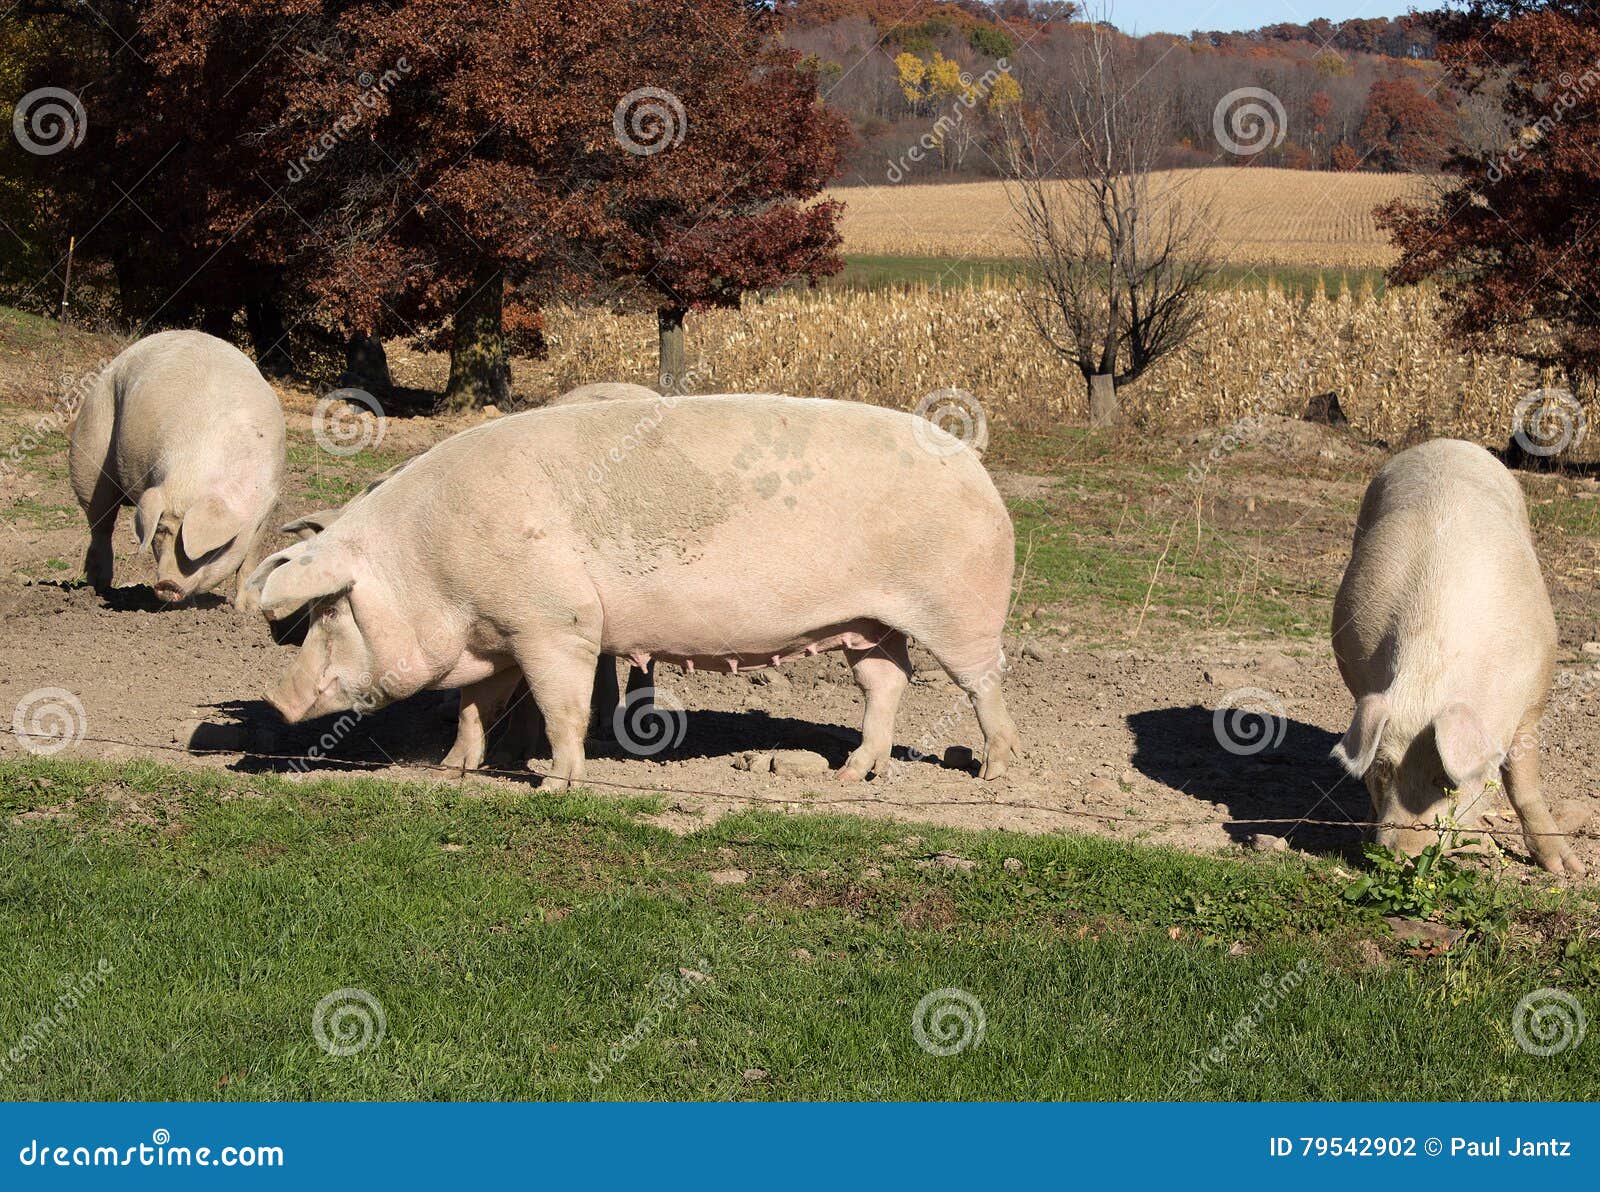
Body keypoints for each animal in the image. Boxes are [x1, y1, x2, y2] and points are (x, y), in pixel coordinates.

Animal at [68, 330, 286, 606]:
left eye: (211, 551)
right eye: (161, 531)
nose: (166, 584)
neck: (194, 475)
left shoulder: (268, 504)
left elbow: (251, 559)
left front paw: (247, 610)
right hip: (90, 447)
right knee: (100, 523)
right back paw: (98, 588)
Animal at [246, 393, 1020, 786]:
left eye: (330, 611)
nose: (276, 700)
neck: (427, 566)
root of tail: (975, 467)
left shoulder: (555, 620)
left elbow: (563, 707)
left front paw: (557, 783)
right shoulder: (494, 634)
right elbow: (474, 704)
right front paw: (454, 768)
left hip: (962, 606)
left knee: (983, 683)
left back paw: (995, 772)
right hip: (869, 620)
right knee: (885, 683)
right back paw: (853, 773)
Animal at [1331, 438, 1583, 876]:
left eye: (1448, 784)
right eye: (1384, 770)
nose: (1403, 858)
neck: (1432, 670)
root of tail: (1443, 442)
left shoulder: (1533, 698)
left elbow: (1523, 781)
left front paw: (1566, 869)